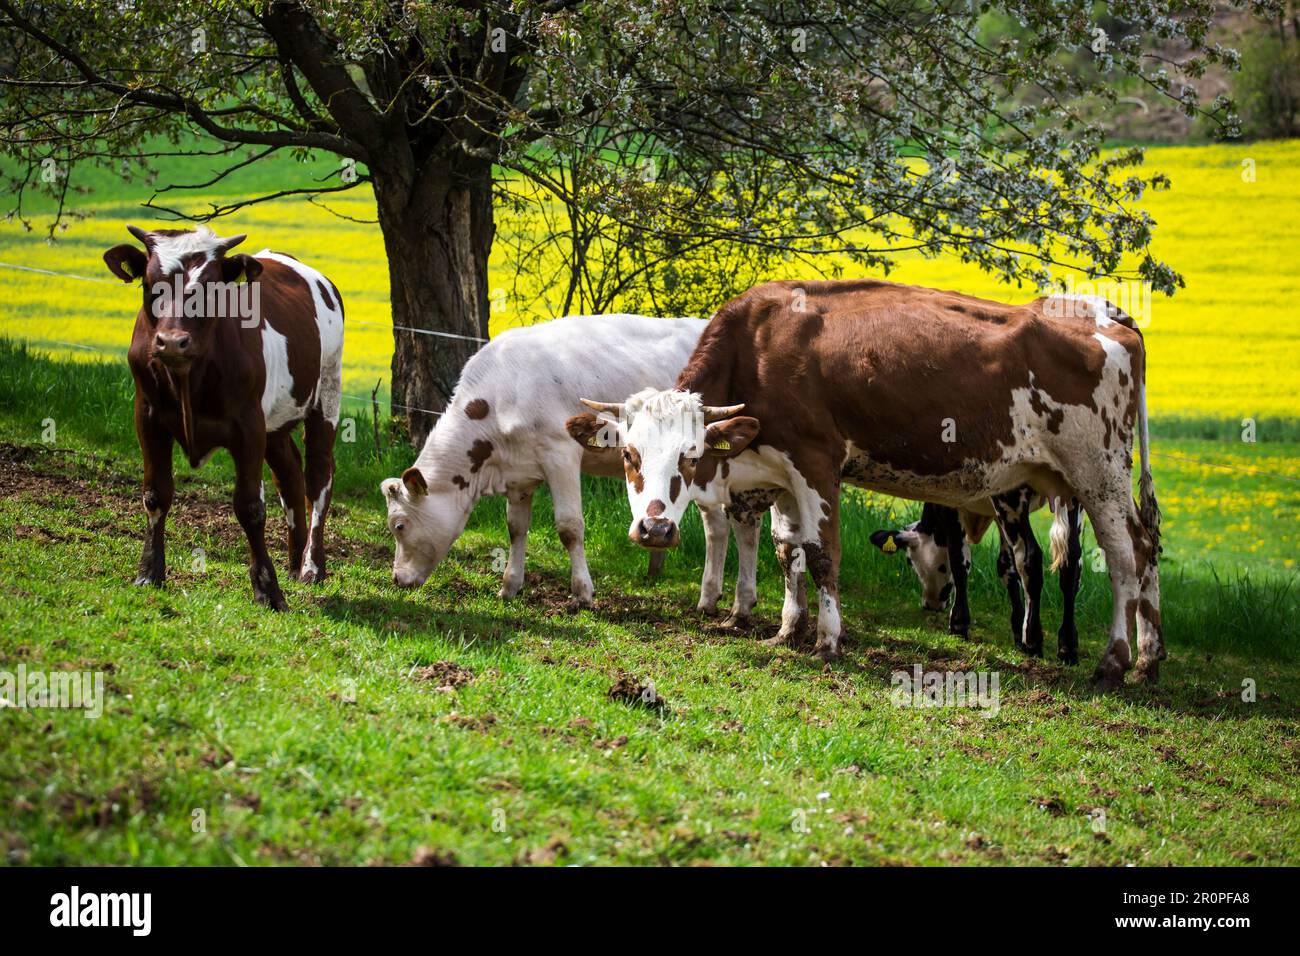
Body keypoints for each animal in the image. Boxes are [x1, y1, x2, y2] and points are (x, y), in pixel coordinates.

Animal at [103, 225, 343, 611]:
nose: (172, 342)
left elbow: (250, 507)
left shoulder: (248, 425)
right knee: (289, 472)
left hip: (327, 393)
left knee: (318, 475)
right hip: (275, 421)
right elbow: (156, 493)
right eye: (149, 284)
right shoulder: (147, 416)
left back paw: (312, 566)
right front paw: (149, 573)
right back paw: (294, 561)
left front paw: (268, 591)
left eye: (211, 288)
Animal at [382, 314, 758, 615]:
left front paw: (582, 594)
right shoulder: (518, 473)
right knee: (717, 525)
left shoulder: (560, 454)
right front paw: (509, 586)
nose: (398, 578)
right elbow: (516, 527)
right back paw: (710, 597)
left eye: (399, 526)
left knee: (721, 523)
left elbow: (569, 527)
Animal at [870, 495, 1086, 663]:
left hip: (1011, 500)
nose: (929, 604)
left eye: (909, 560)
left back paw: (1033, 641)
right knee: (1072, 560)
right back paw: (1067, 647)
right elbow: (1007, 566)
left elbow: (958, 561)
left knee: (1030, 557)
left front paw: (958, 625)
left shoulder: (952, 506)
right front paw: (1017, 629)